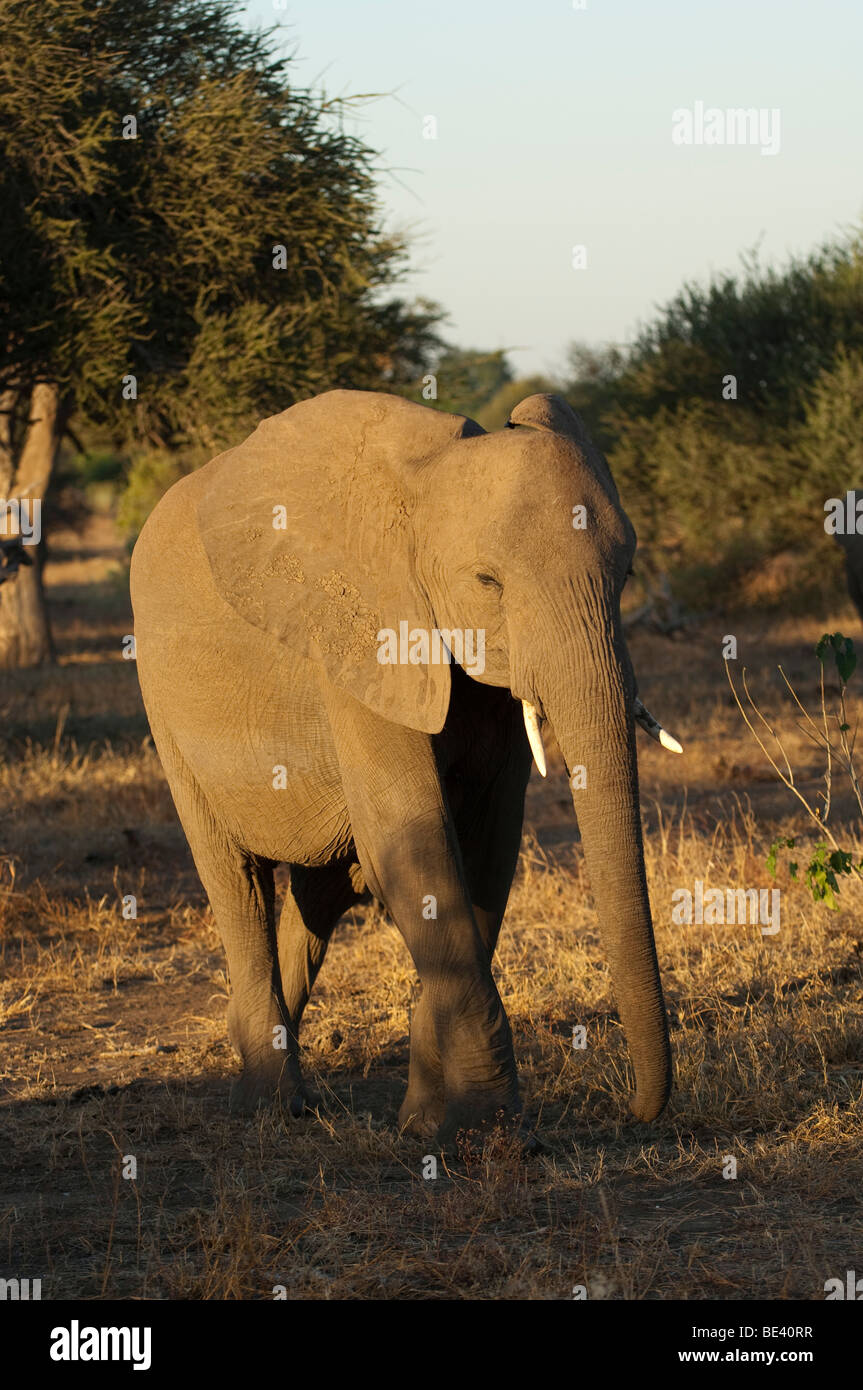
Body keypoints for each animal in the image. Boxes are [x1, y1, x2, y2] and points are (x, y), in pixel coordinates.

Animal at [129, 389, 682, 1146]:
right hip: (164, 708)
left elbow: (484, 849)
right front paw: (491, 1133)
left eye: (625, 574)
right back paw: (271, 1109)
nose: (631, 1113)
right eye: (487, 581)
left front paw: (424, 1126)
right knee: (235, 883)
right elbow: (417, 838)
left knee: (321, 896)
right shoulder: (366, 639)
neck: (421, 491)